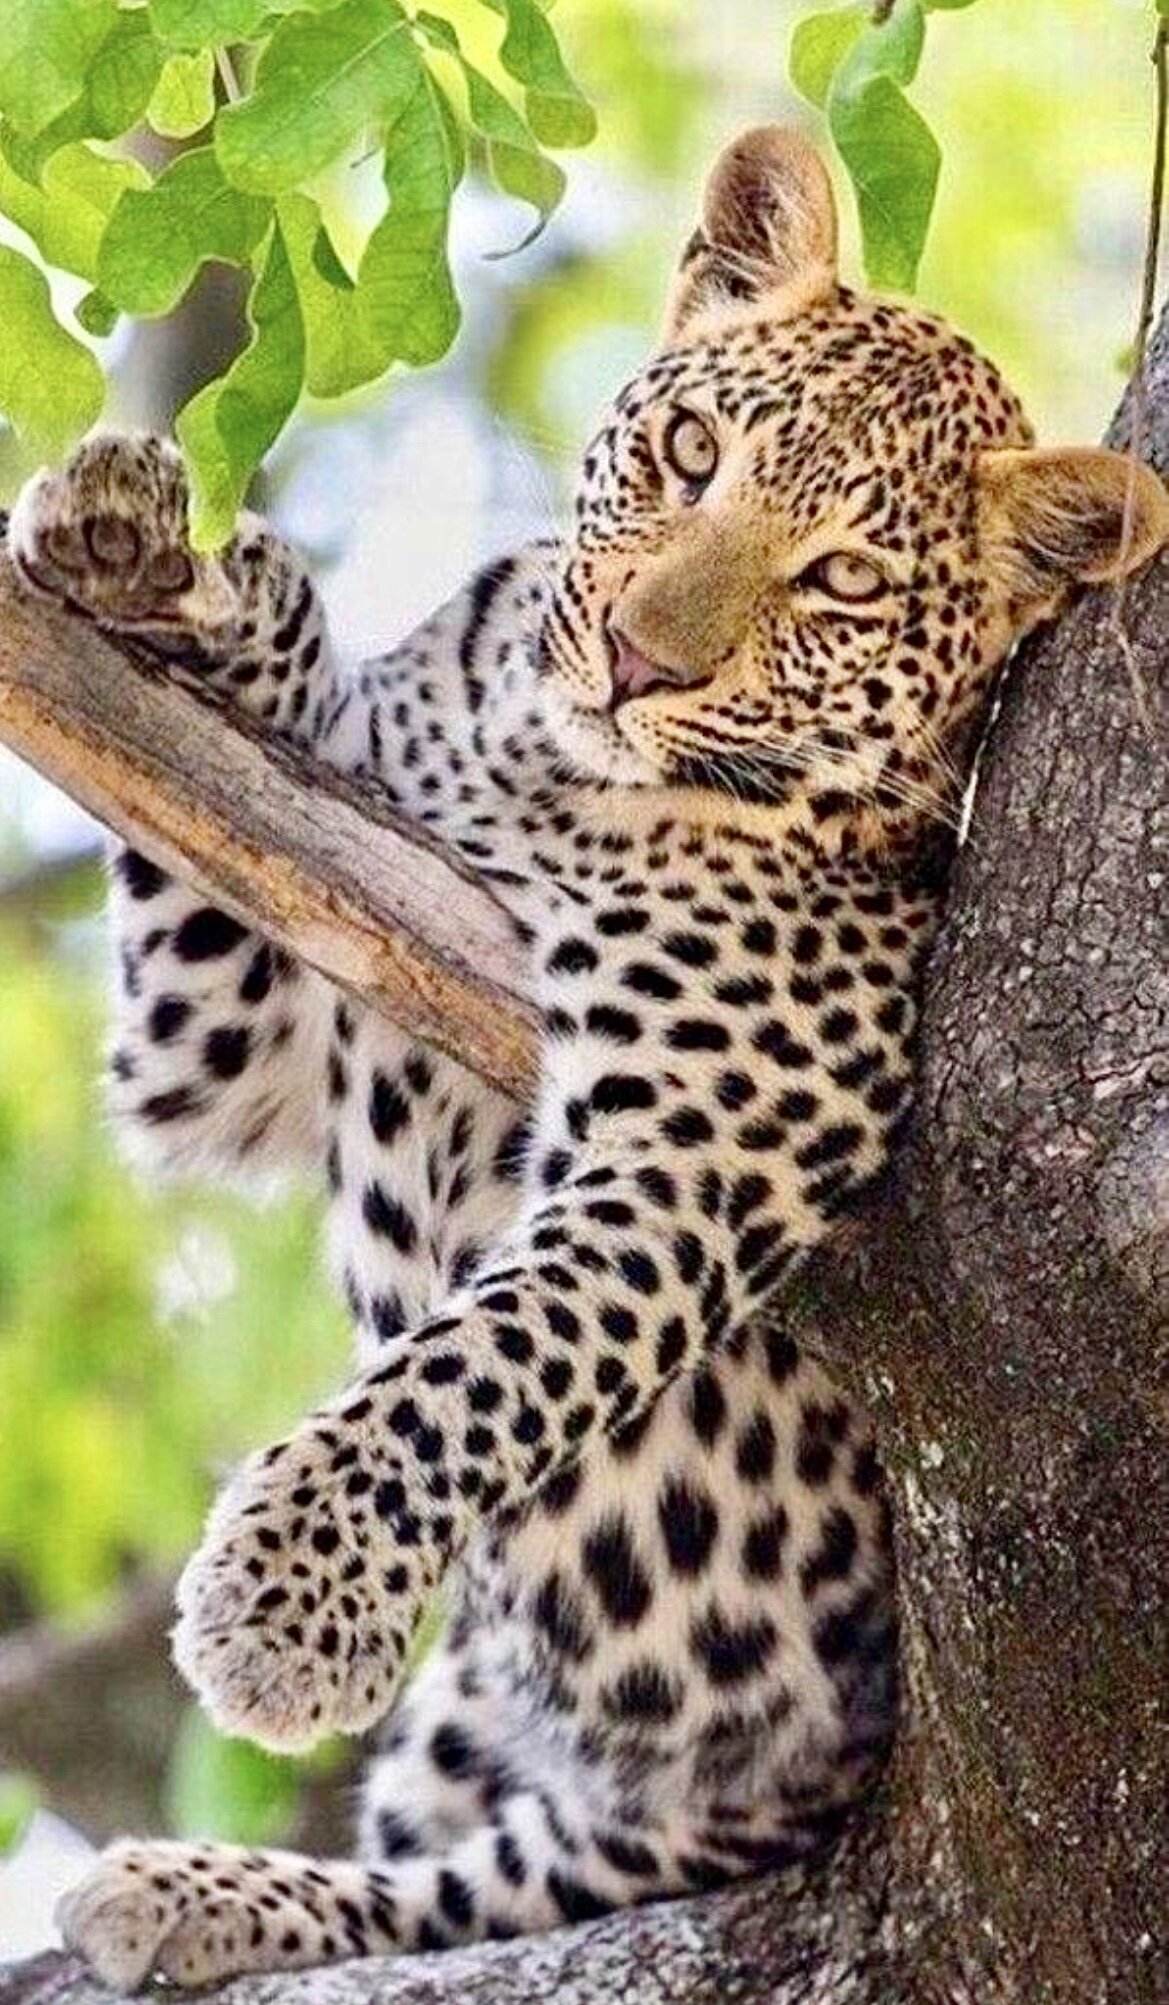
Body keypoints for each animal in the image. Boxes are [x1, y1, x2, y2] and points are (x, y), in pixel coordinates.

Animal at [9, 128, 1165, 1991]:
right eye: (693, 452)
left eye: (843, 581)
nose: (637, 658)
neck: (535, 767)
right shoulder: (245, 1027)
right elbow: (218, 785)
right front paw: (144, 555)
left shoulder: (695, 1150)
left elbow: (490, 1360)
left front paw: (288, 1595)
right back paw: (200, 1896)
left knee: (506, 1883)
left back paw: (198, 1874)